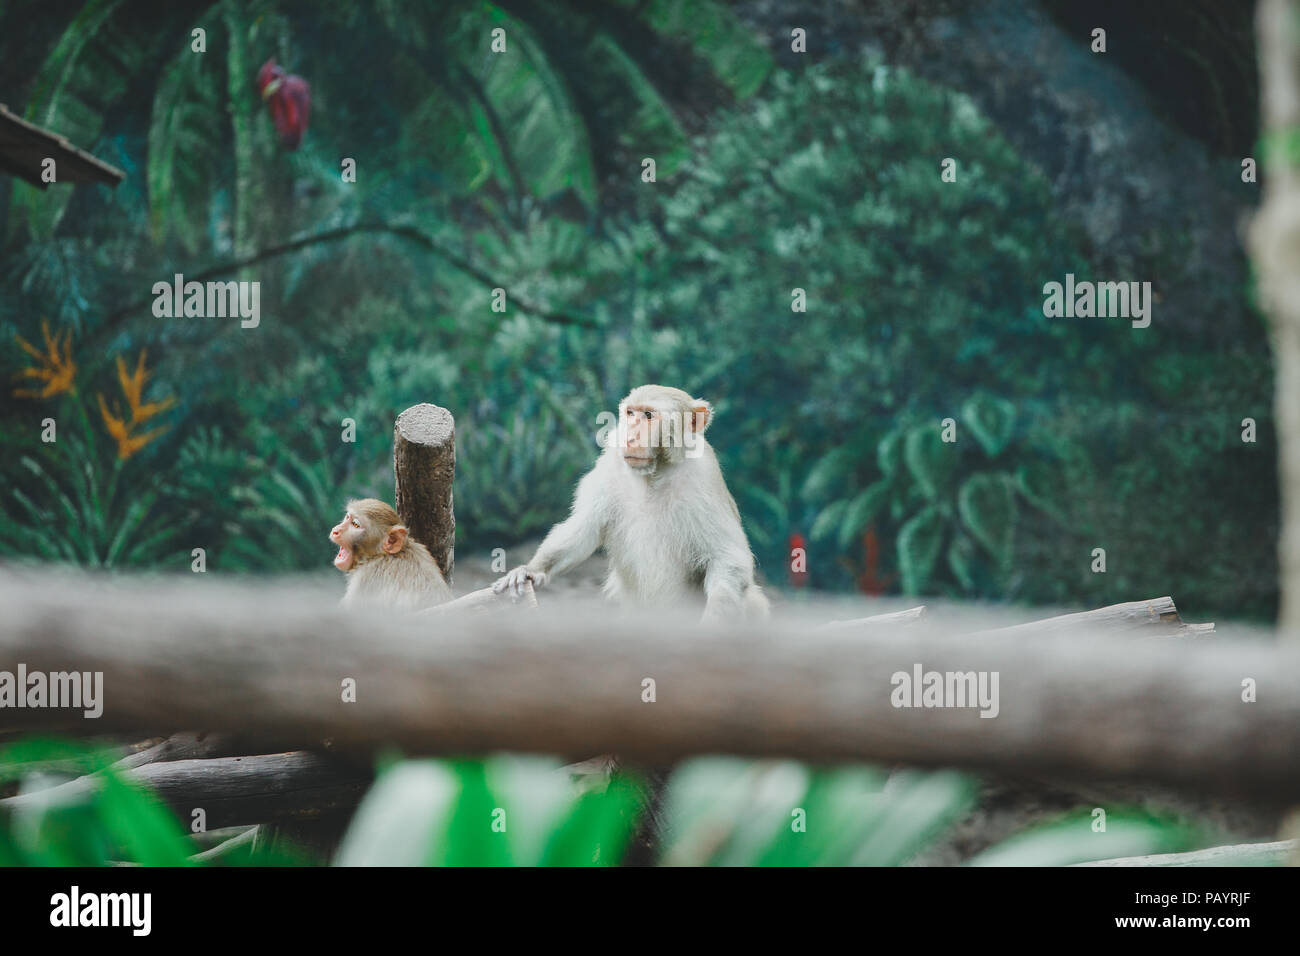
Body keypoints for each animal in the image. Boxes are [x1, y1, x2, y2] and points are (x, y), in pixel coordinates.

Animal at [494, 384, 769, 624]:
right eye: (630, 413)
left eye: (648, 415)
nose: (631, 436)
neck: (654, 474)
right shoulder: (611, 463)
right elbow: (583, 530)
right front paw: (531, 570)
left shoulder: (704, 475)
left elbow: (727, 559)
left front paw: (714, 619)